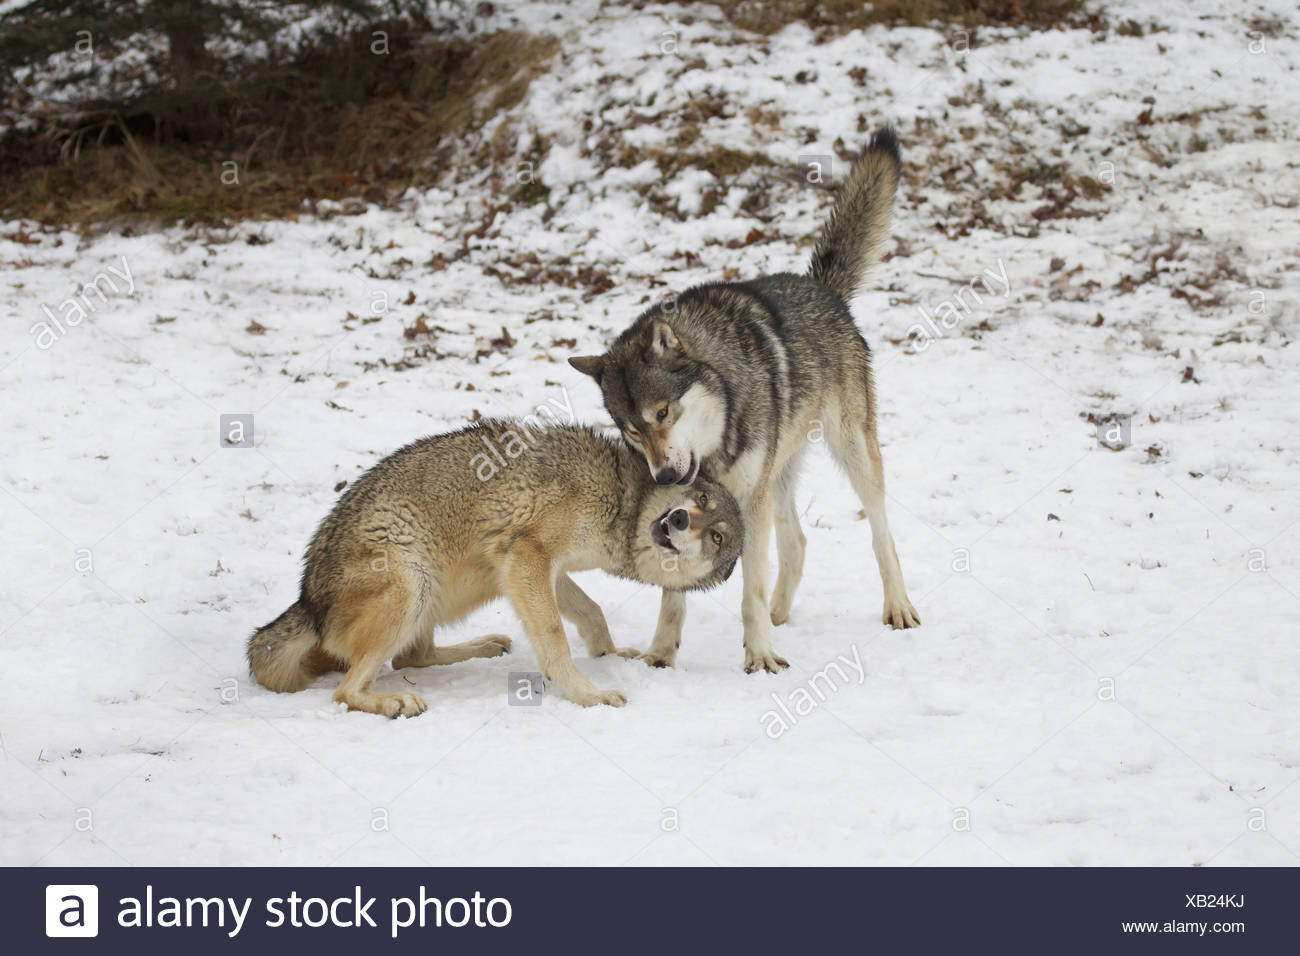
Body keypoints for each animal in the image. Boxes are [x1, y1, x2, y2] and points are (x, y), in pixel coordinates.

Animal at [247, 420, 742, 714]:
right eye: (700, 500)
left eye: (717, 537)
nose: (679, 521)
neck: (625, 501)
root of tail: (307, 601)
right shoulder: (529, 556)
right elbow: (556, 638)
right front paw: (587, 694)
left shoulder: (537, 567)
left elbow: (592, 612)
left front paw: (611, 655)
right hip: (412, 582)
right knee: (347, 690)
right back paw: (393, 702)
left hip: (451, 589)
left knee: (412, 656)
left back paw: (484, 645)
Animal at [569, 126, 918, 674]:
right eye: (631, 430)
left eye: (662, 413)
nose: (662, 477)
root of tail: (821, 288)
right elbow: (673, 594)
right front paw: (660, 655)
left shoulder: (745, 502)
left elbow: (747, 589)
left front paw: (760, 656)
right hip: (779, 476)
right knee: (797, 542)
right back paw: (780, 615)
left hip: (851, 455)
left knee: (882, 534)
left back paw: (896, 607)